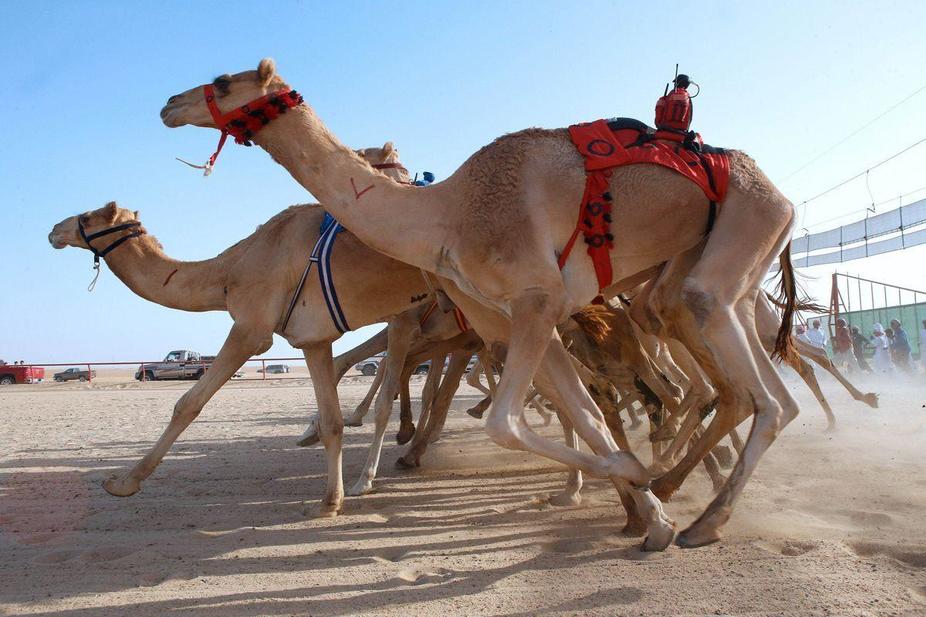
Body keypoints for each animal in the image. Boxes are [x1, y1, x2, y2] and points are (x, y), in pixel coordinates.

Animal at [160, 58, 804, 549]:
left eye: (222, 81)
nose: (168, 103)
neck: (449, 215)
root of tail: (781, 194)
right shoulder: (512, 319)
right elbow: (586, 414)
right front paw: (649, 516)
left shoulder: (539, 299)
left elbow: (504, 421)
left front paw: (633, 480)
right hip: (706, 268)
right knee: (745, 377)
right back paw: (687, 502)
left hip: (748, 220)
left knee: (762, 393)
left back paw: (706, 519)